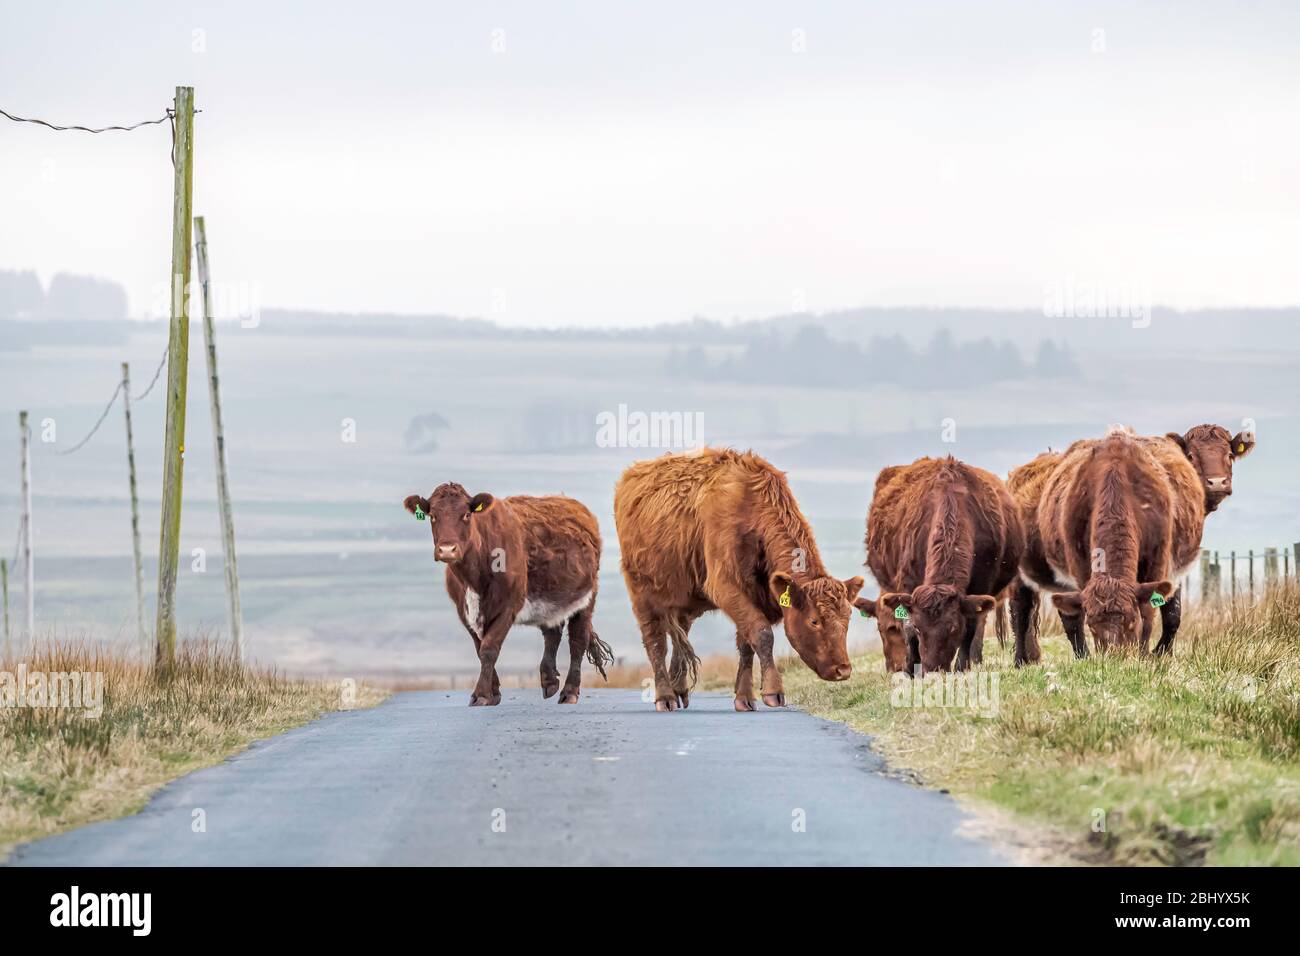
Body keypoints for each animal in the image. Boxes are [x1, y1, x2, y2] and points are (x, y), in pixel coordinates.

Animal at [403, 483, 612, 706]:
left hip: (587, 597)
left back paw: (570, 691)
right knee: (552, 633)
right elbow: (480, 648)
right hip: (551, 600)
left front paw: (481, 694)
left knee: (578, 640)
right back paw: (549, 681)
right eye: (432, 516)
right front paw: (493, 693)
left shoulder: (508, 606)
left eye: (466, 514)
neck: (473, 579)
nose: (447, 549)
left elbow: (489, 648)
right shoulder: (464, 610)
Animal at [614, 448, 862, 713]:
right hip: (642, 595)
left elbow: (747, 644)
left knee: (681, 636)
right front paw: (773, 692)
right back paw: (665, 697)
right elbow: (762, 634)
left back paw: (679, 689)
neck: (750, 509)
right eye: (814, 621)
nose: (843, 669)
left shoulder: (750, 594)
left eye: (847, 619)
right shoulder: (725, 587)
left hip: (683, 599)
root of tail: (631, 476)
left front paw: (744, 697)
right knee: (655, 641)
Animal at [855, 457, 1023, 675]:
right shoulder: (908, 585)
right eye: (920, 629)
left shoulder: (980, 587)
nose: (933, 670)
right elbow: (908, 629)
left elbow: (970, 628)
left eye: (953, 629)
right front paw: (912, 671)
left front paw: (962, 667)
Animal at [1032, 427, 1203, 654]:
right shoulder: (1080, 564)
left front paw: (1142, 655)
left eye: (1132, 621)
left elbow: (1148, 613)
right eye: (1092, 626)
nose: (1115, 657)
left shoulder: (1158, 561)